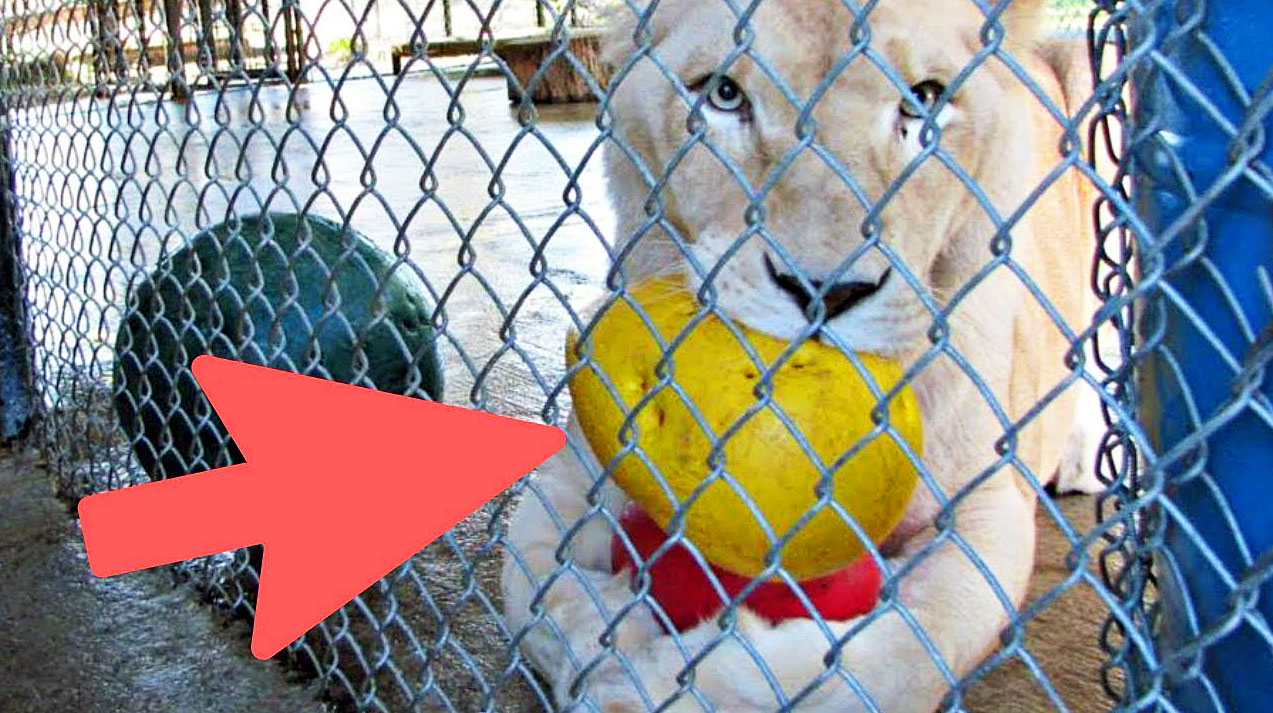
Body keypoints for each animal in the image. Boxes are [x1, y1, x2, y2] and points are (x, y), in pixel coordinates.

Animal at [502, 1, 1103, 711]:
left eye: (924, 101)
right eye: (724, 94)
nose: (824, 292)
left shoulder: (987, 513)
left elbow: (894, 659)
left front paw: (658, 679)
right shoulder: (568, 482)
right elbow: (538, 594)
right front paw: (608, 647)